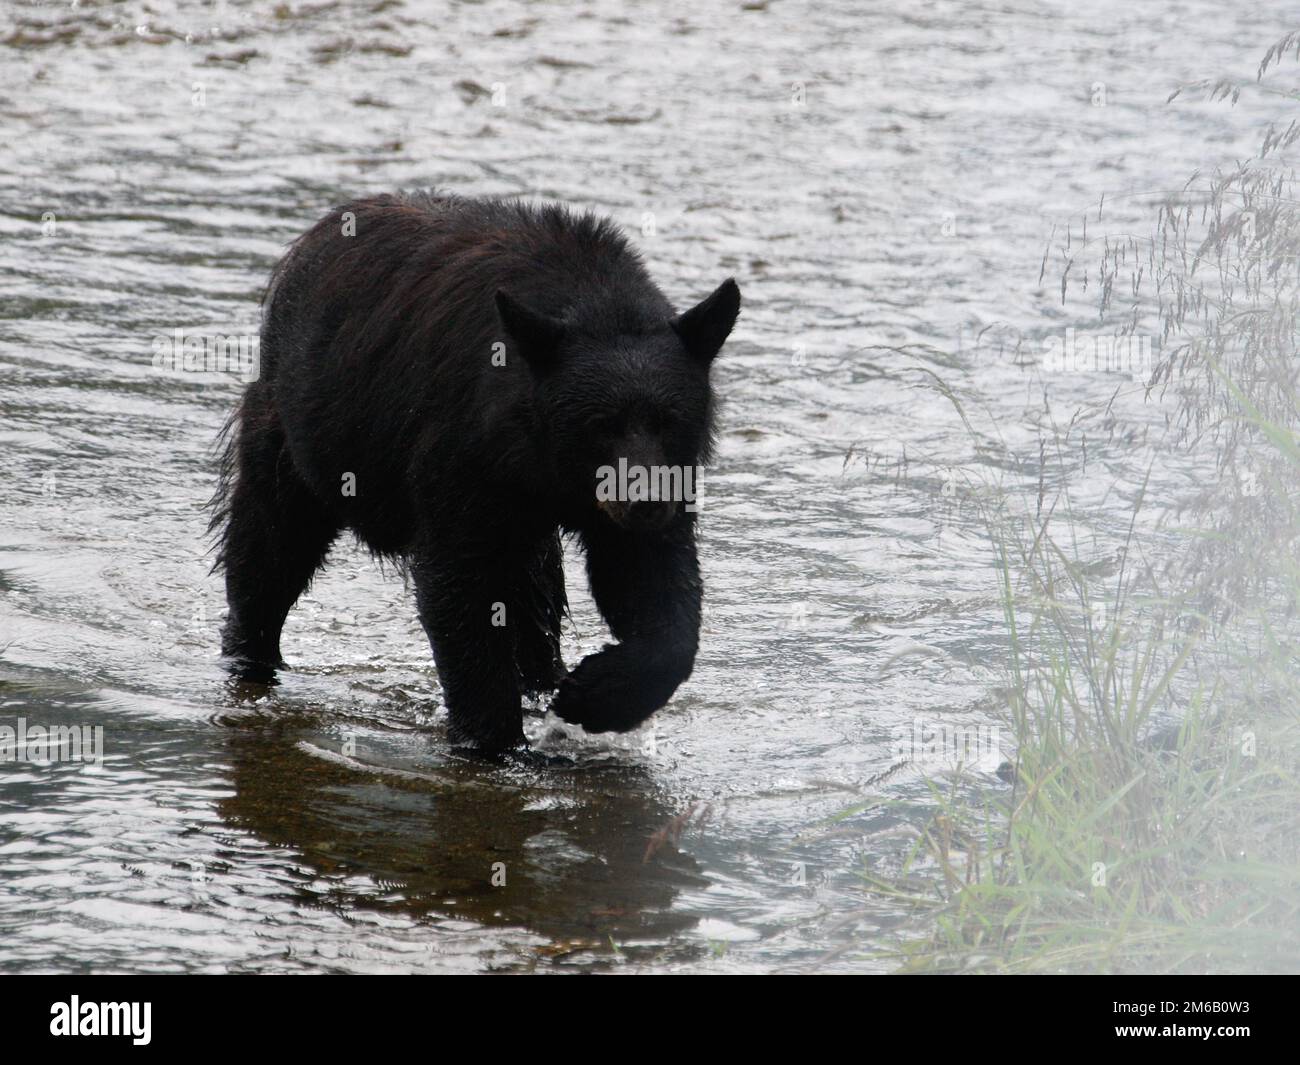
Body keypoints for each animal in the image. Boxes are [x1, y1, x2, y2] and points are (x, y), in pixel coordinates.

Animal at [210, 191, 740, 752]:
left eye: (669, 421)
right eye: (600, 424)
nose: (646, 502)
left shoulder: (651, 482)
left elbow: (652, 585)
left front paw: (591, 696)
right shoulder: (461, 454)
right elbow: (462, 587)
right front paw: (495, 742)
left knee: (534, 595)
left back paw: (546, 677)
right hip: (294, 436)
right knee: (268, 549)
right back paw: (252, 658)